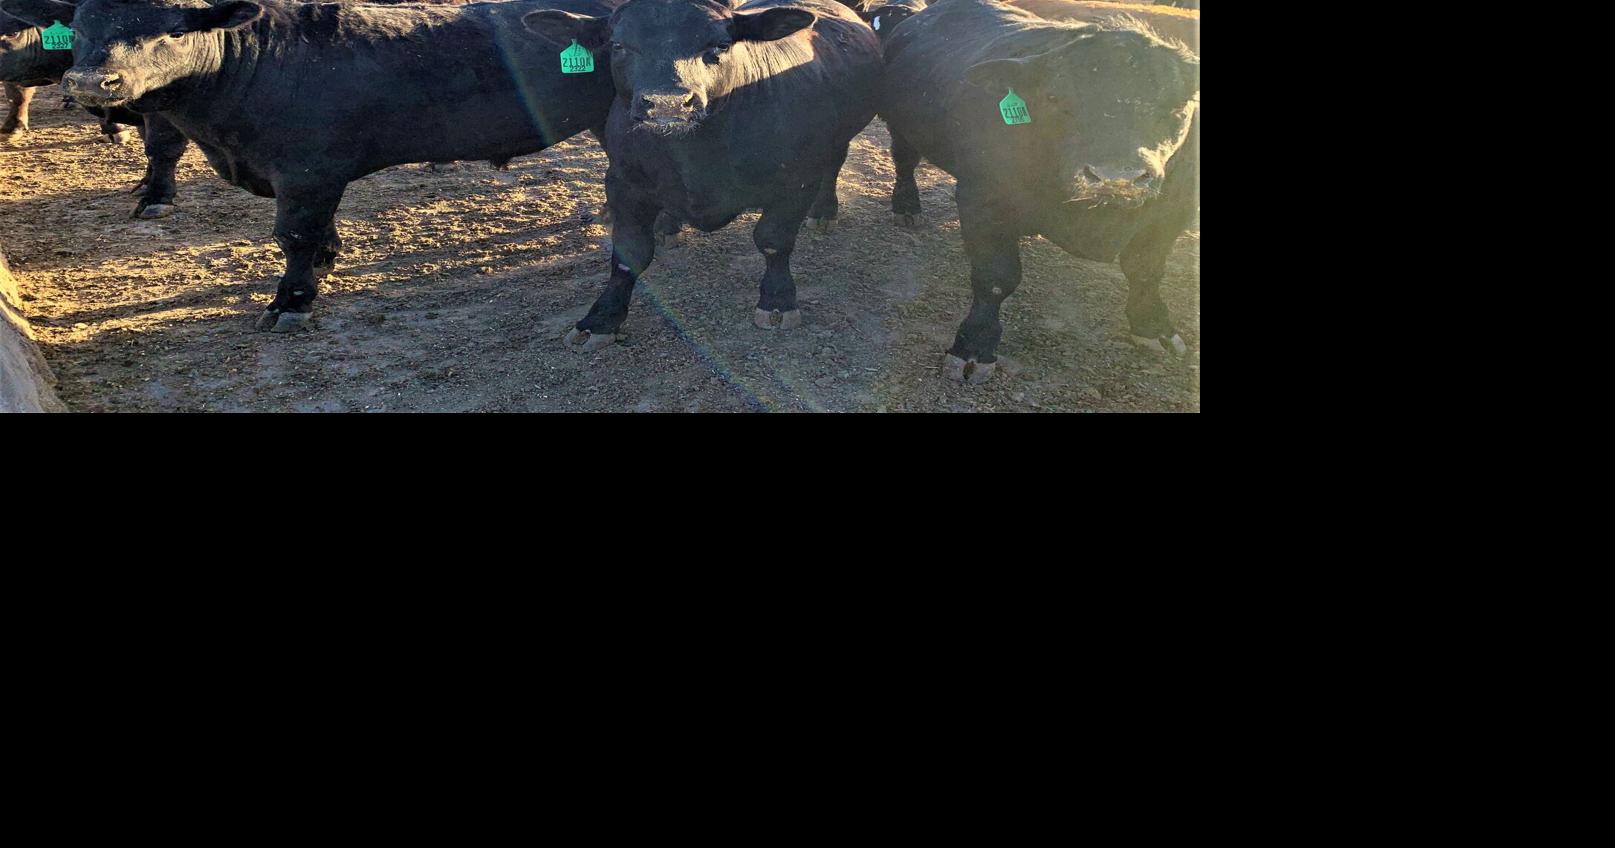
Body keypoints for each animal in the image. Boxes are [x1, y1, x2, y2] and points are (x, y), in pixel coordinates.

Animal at [0, 0, 627, 333]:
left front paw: (291, 302)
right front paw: (325, 265)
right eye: (81, 24)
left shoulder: (306, 173)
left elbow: (294, 236)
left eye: (174, 30)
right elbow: (319, 234)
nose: (89, 82)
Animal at [522, 0, 882, 352]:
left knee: (834, 165)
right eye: (618, 44)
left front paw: (778, 300)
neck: (696, 154)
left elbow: (773, 241)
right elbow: (630, 252)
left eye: (720, 45)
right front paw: (600, 319)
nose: (667, 104)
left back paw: (824, 213)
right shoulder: (623, 182)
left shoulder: (796, 180)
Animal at [876, 0, 1198, 382]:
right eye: (1054, 97)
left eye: (1178, 107)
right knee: (904, 161)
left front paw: (1153, 326)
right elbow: (995, 278)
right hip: (901, 128)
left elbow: (1145, 270)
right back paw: (907, 207)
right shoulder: (982, 200)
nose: (1116, 177)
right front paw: (974, 346)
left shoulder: (1173, 214)